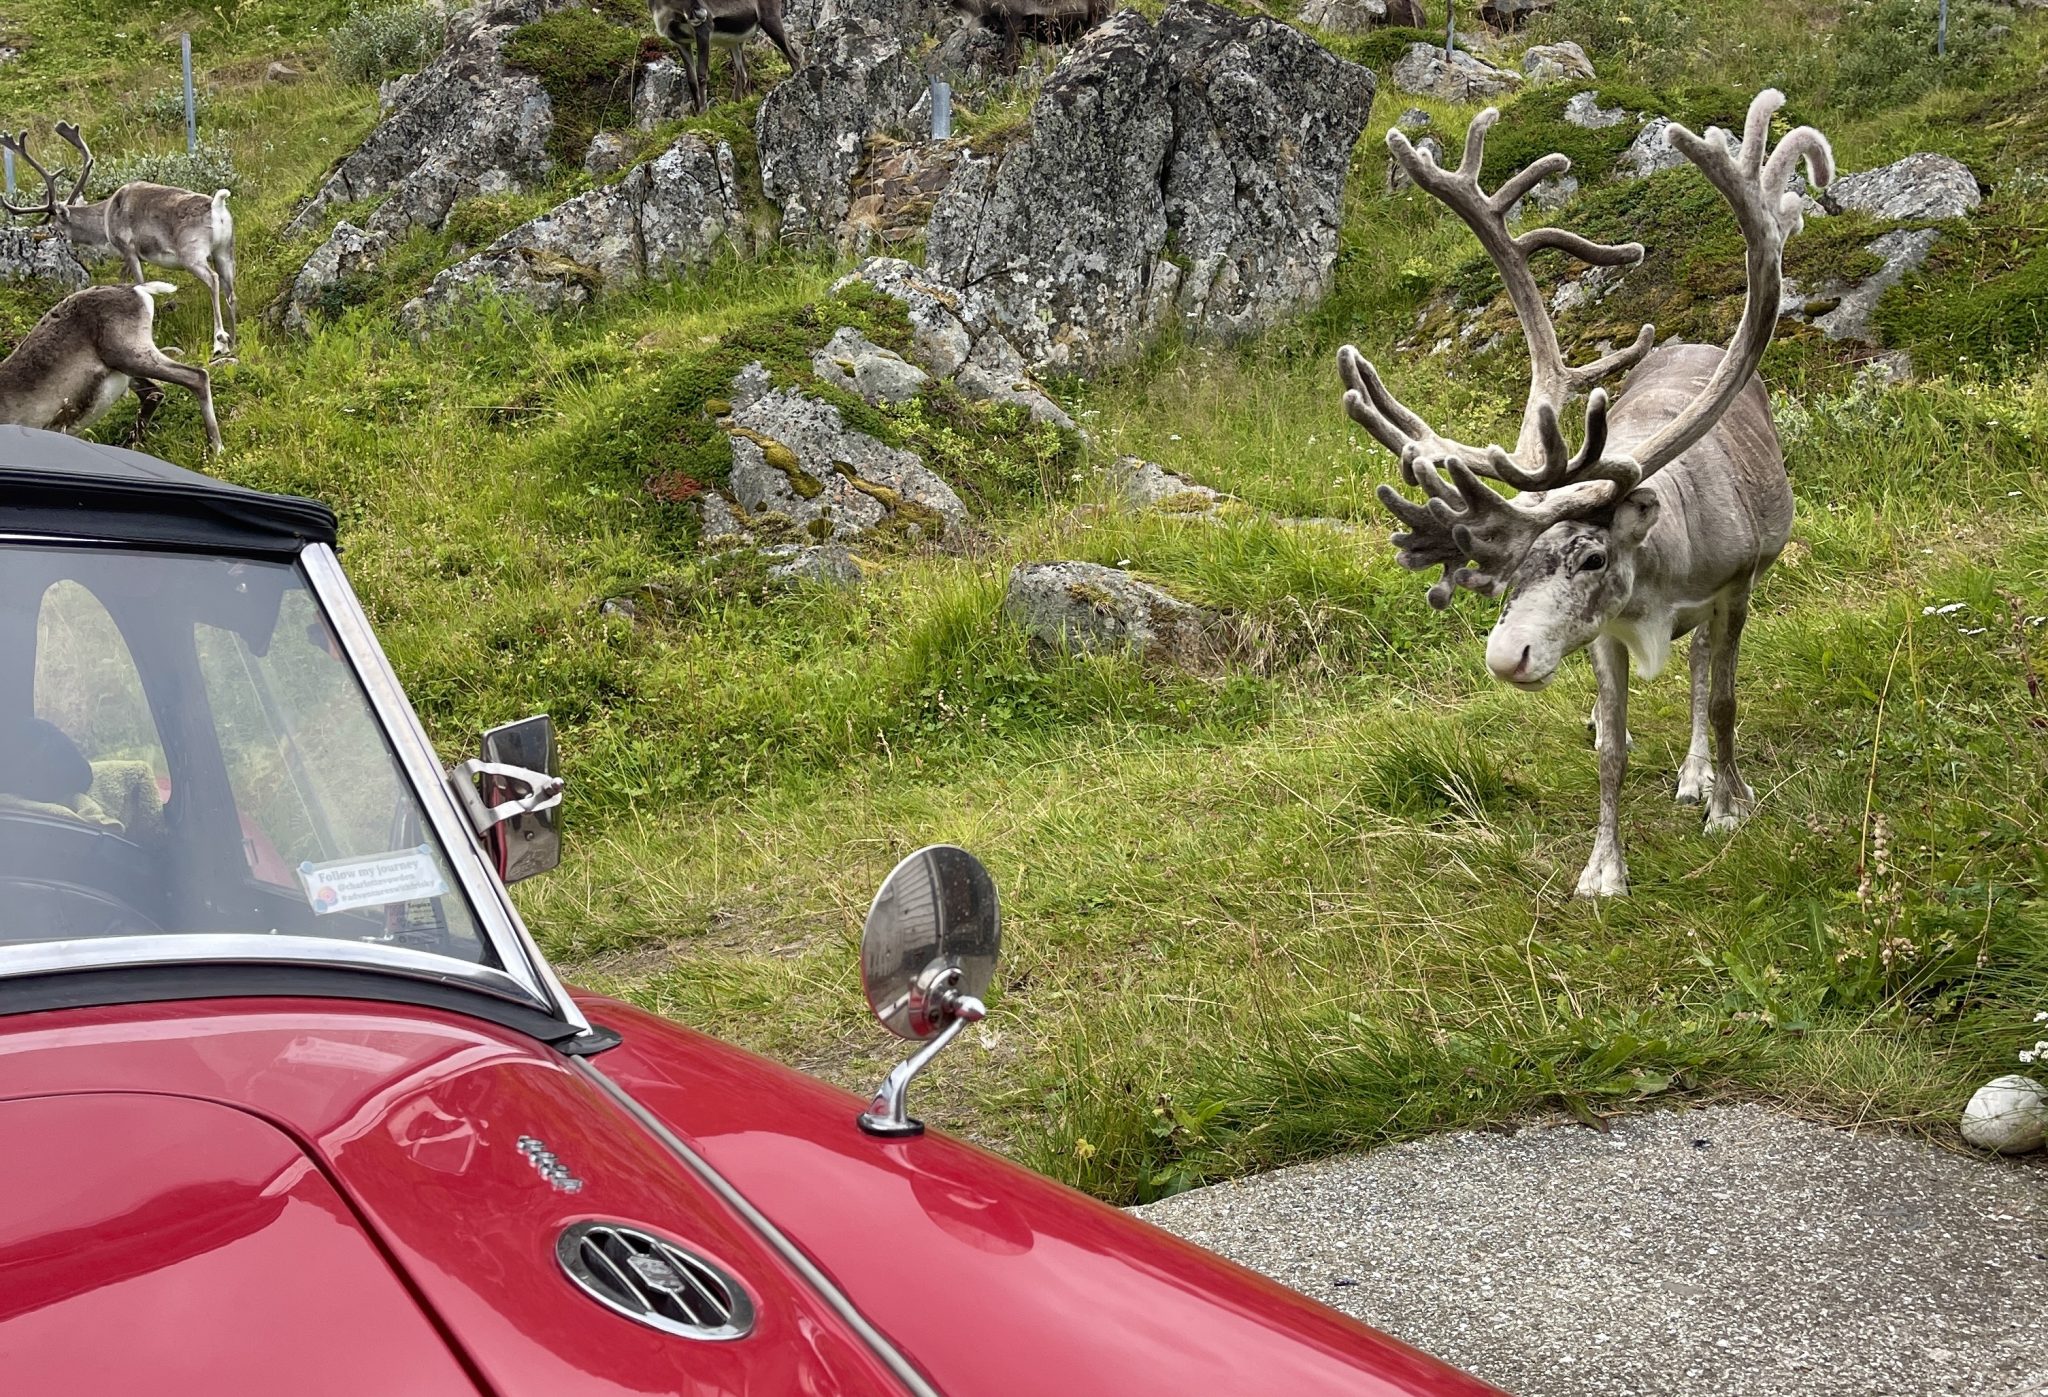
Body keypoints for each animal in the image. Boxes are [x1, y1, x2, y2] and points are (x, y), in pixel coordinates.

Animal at [0, 123, 238, 359]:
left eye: (54, 226)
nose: (48, 235)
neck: (105, 219)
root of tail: (217, 207)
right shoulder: (127, 255)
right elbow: (122, 278)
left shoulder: (129, 249)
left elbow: (140, 284)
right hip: (224, 251)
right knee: (230, 291)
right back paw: (233, 340)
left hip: (192, 255)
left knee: (213, 280)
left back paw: (219, 342)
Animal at [0, 281, 222, 454]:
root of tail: (137, 289)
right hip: (126, 368)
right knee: (154, 391)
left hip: (128, 355)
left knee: (197, 376)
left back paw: (216, 448)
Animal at [650, 0, 804, 116]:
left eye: (706, 17)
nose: (702, 13)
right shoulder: (681, 43)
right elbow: (691, 80)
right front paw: (696, 113)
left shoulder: (704, 30)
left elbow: (701, 75)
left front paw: (703, 112)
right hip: (735, 41)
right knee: (742, 72)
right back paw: (735, 103)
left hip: (770, 19)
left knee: (793, 55)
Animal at [1338, 89, 1833, 898]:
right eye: (1508, 569)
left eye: (1593, 557)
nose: (1505, 657)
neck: (1663, 570)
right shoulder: (1605, 633)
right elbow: (1613, 748)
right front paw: (1603, 870)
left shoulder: (1733, 585)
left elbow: (1723, 701)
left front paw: (1729, 804)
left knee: (1702, 672)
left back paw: (1699, 775)